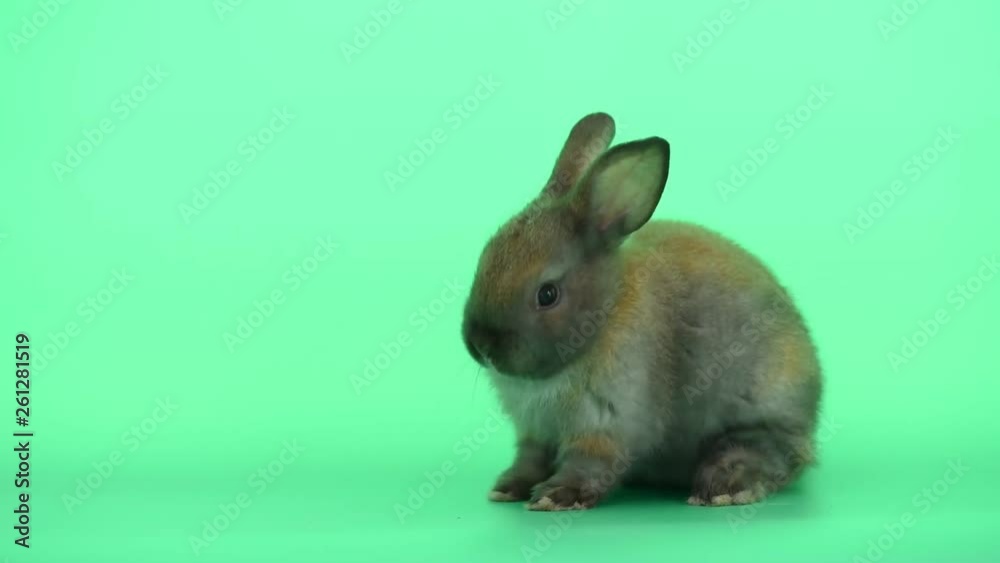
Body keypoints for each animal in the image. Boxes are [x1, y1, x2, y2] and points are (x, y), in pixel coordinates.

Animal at [459, 112, 823, 511]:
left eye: (548, 294)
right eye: (484, 258)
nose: (480, 346)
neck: (603, 317)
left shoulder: (606, 427)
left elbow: (589, 465)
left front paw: (556, 496)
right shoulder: (536, 433)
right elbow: (530, 460)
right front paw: (508, 488)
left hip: (760, 417)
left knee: (769, 453)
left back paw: (724, 488)